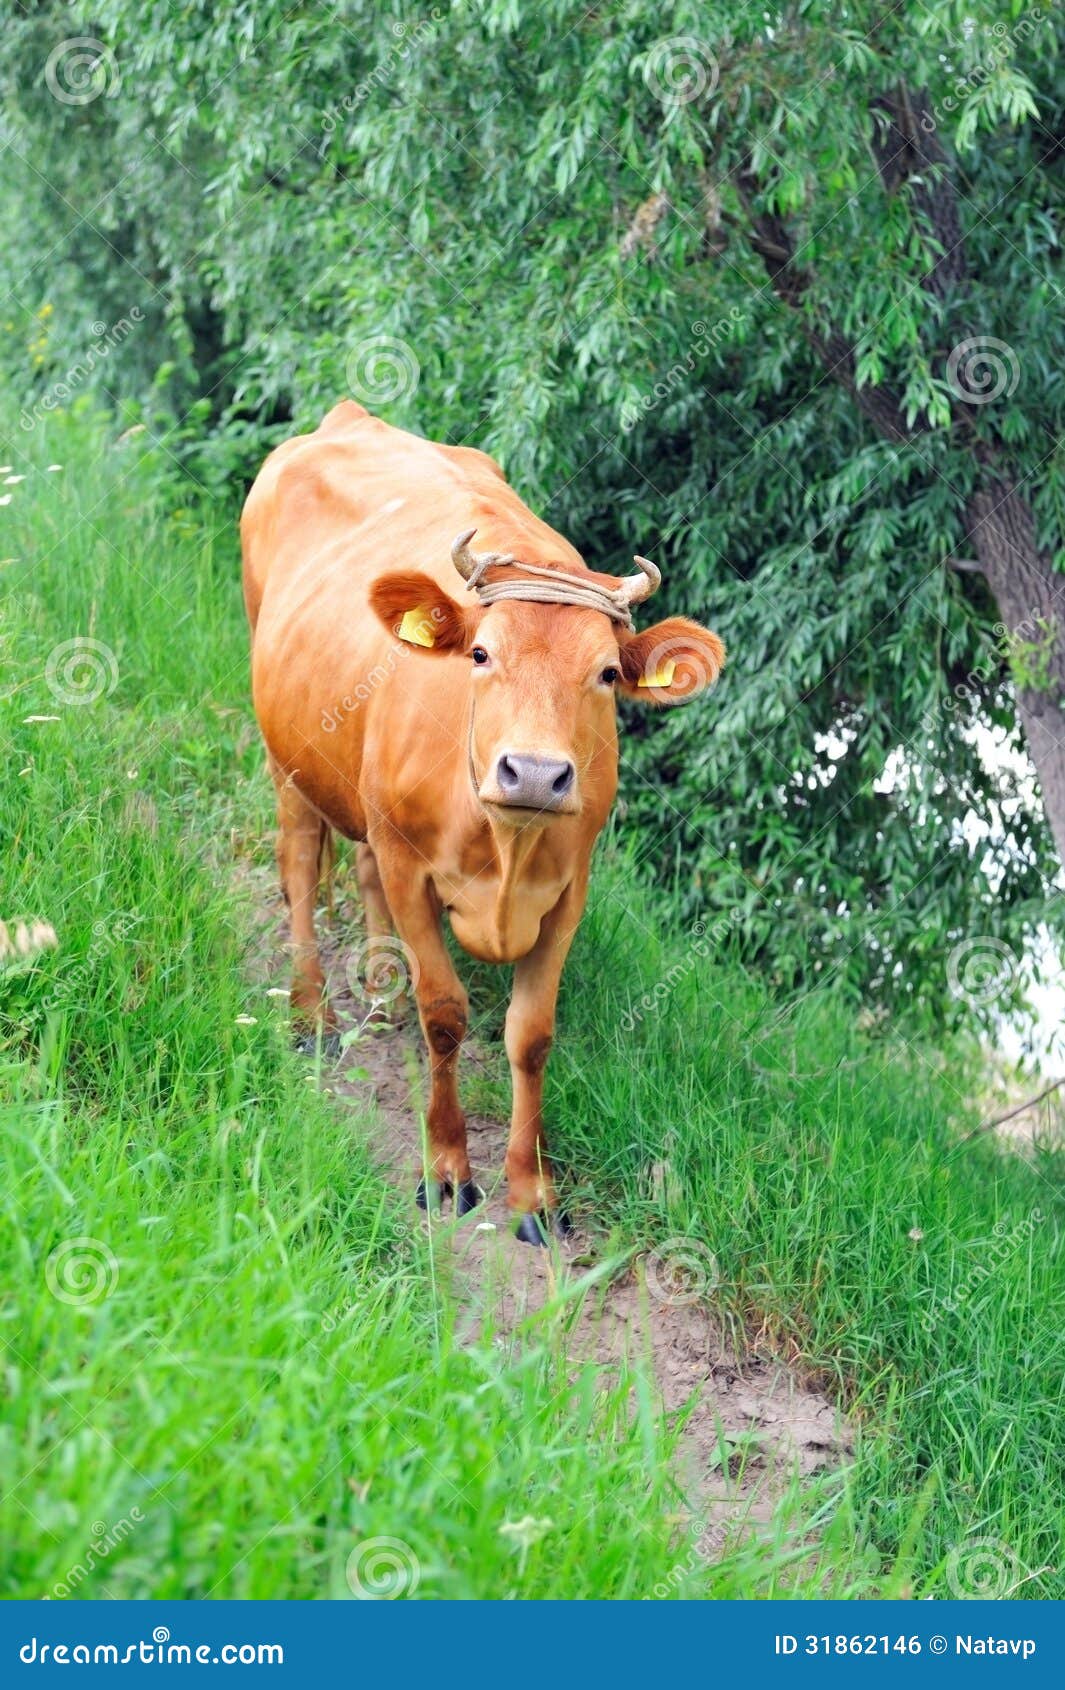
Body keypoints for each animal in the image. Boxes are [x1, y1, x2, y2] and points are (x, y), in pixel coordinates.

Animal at [241, 401, 724, 1244]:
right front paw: (445, 1171)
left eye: (606, 673)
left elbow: (531, 1037)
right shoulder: (412, 866)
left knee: (357, 865)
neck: (504, 848)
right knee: (299, 865)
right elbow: (445, 1016)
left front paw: (532, 1193)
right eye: (479, 653)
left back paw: (380, 984)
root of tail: (350, 416)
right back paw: (313, 1014)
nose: (532, 772)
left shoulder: (568, 891)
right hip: (285, 752)